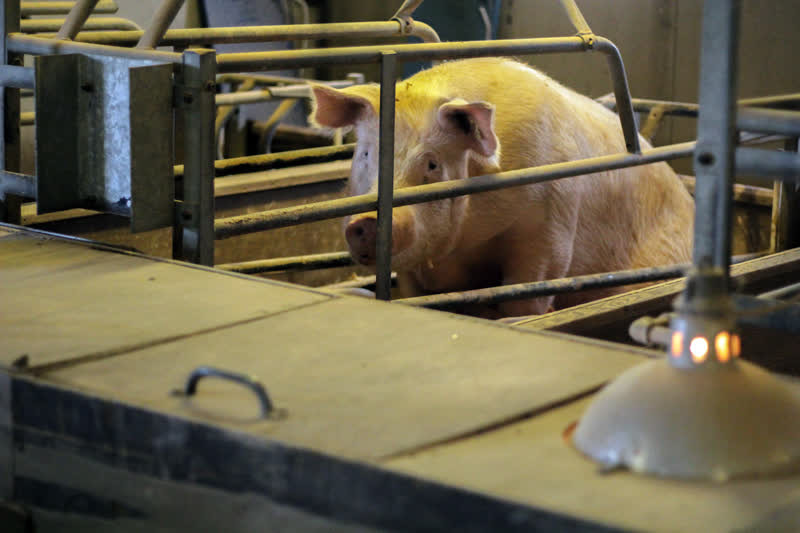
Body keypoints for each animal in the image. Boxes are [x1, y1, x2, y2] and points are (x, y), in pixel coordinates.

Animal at [311, 57, 694, 318]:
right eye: (365, 154)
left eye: (432, 164)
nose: (363, 222)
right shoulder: (412, 268)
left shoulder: (551, 227)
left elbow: (527, 294)